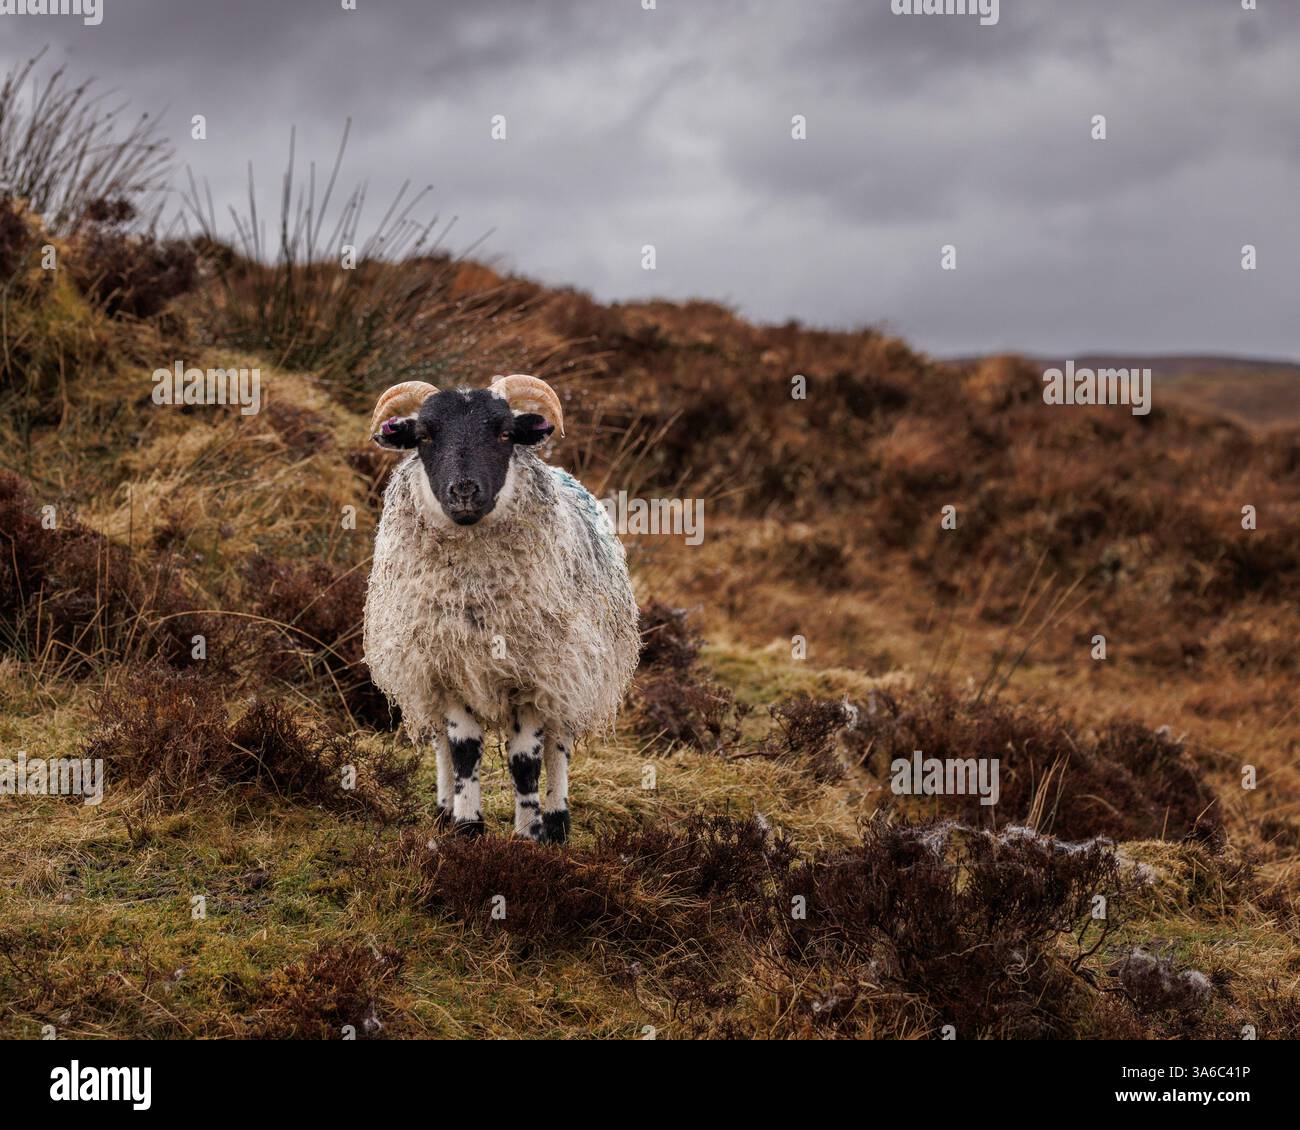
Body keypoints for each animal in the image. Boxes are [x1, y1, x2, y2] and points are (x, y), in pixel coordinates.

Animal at [362, 374, 639, 842]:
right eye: (424, 436)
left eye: (506, 433)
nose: (463, 491)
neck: (477, 598)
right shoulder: (446, 672)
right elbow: (463, 751)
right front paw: (467, 825)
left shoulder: (533, 679)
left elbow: (525, 761)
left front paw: (528, 834)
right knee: (440, 744)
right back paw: (443, 810)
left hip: (570, 674)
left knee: (558, 748)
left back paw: (557, 822)